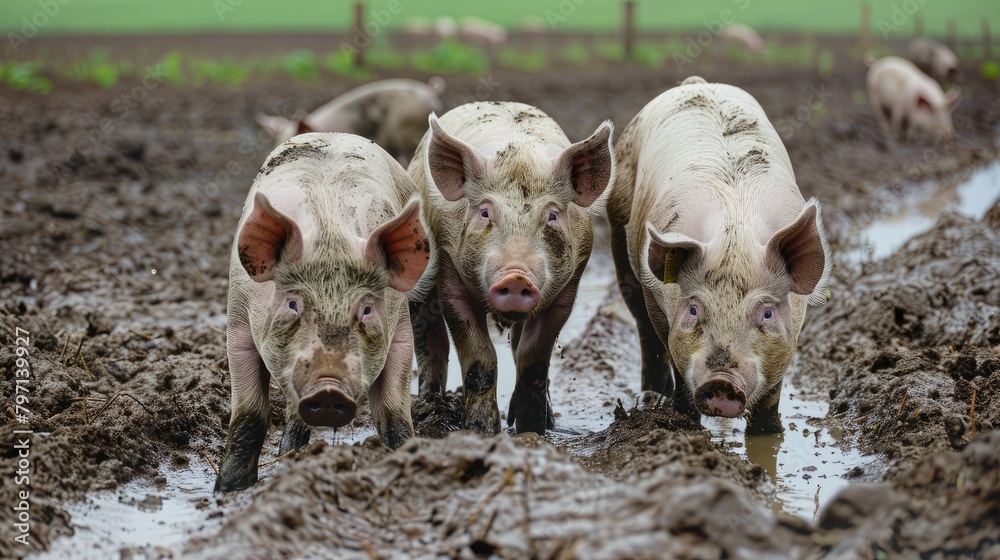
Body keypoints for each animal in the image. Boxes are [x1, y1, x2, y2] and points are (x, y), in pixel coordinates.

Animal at [217, 132, 430, 492]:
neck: (330, 235)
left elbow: (393, 414)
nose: (329, 389)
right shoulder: (238, 323)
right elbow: (250, 415)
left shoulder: (400, 327)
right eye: (292, 304)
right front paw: (229, 490)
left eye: (367, 309)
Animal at [407, 102, 614, 435]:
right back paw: (429, 406)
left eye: (552, 216)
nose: (516, 277)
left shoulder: (568, 287)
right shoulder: (450, 274)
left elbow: (533, 359)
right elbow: (480, 358)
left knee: (516, 347)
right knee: (429, 340)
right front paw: (481, 431)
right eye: (485, 213)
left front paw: (534, 431)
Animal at [606, 76, 830, 434]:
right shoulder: (658, 302)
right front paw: (682, 424)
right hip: (618, 225)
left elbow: (770, 398)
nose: (722, 382)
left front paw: (769, 434)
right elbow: (673, 357)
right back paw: (651, 396)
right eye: (694, 309)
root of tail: (696, 82)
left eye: (767, 313)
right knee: (644, 330)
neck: (734, 237)